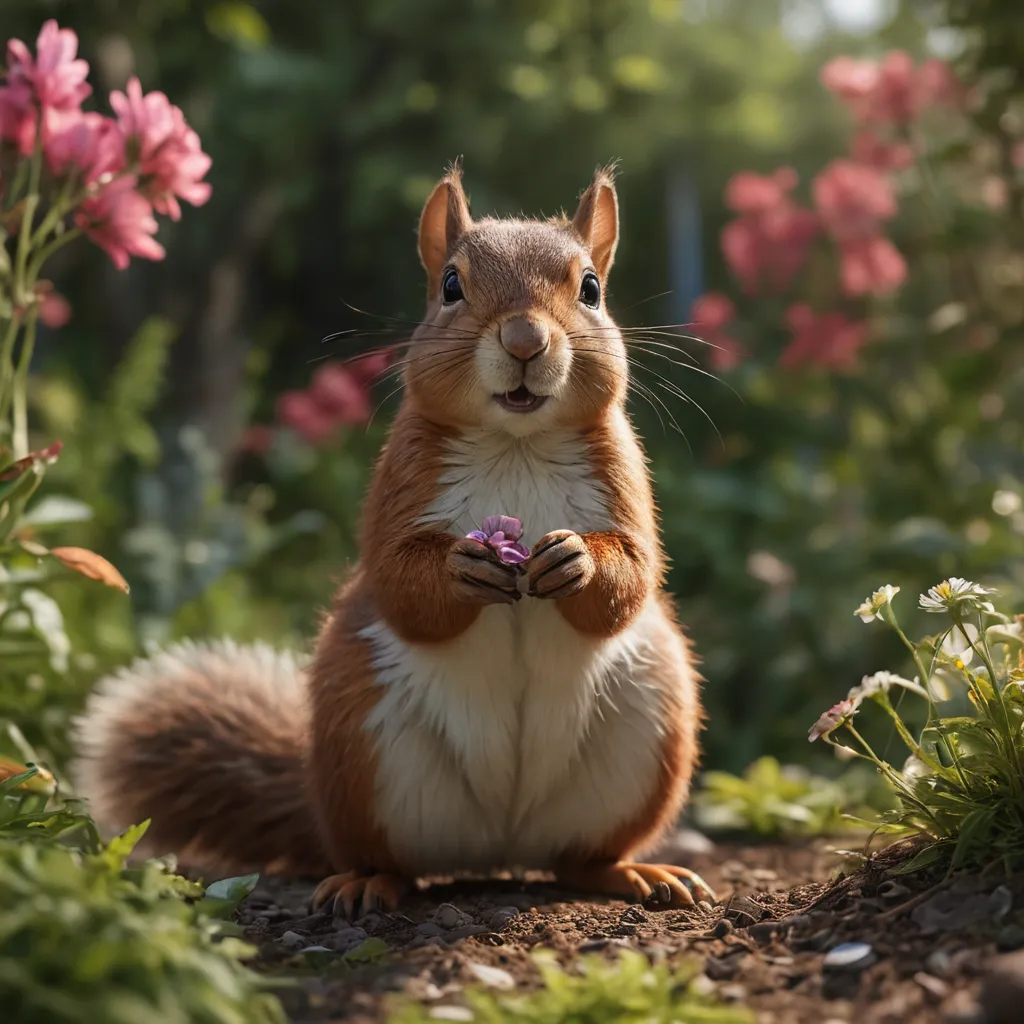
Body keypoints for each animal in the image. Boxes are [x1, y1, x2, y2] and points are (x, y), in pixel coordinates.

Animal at [72, 164, 713, 919]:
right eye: (451, 285)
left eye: (591, 288)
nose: (525, 339)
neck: (517, 444)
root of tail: (499, 848)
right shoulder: (399, 483)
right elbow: (399, 581)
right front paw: (463, 567)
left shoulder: (624, 478)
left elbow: (636, 571)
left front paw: (577, 559)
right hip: (363, 750)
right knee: (392, 859)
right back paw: (366, 883)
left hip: (649, 732)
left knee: (579, 858)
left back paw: (636, 873)